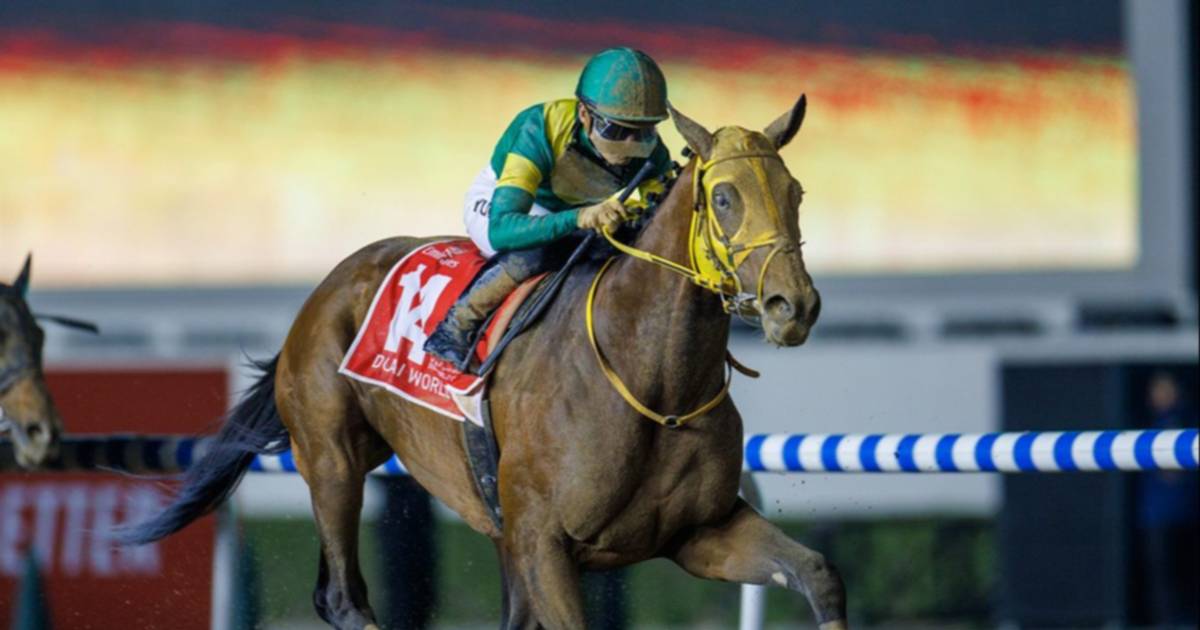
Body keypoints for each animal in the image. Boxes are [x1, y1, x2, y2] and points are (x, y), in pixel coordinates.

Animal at [123, 97, 848, 630]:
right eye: (724, 197)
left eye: (796, 192)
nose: (793, 305)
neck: (655, 386)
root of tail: (330, 283)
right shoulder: (545, 544)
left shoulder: (700, 532)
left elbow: (818, 573)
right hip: (331, 457)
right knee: (342, 597)